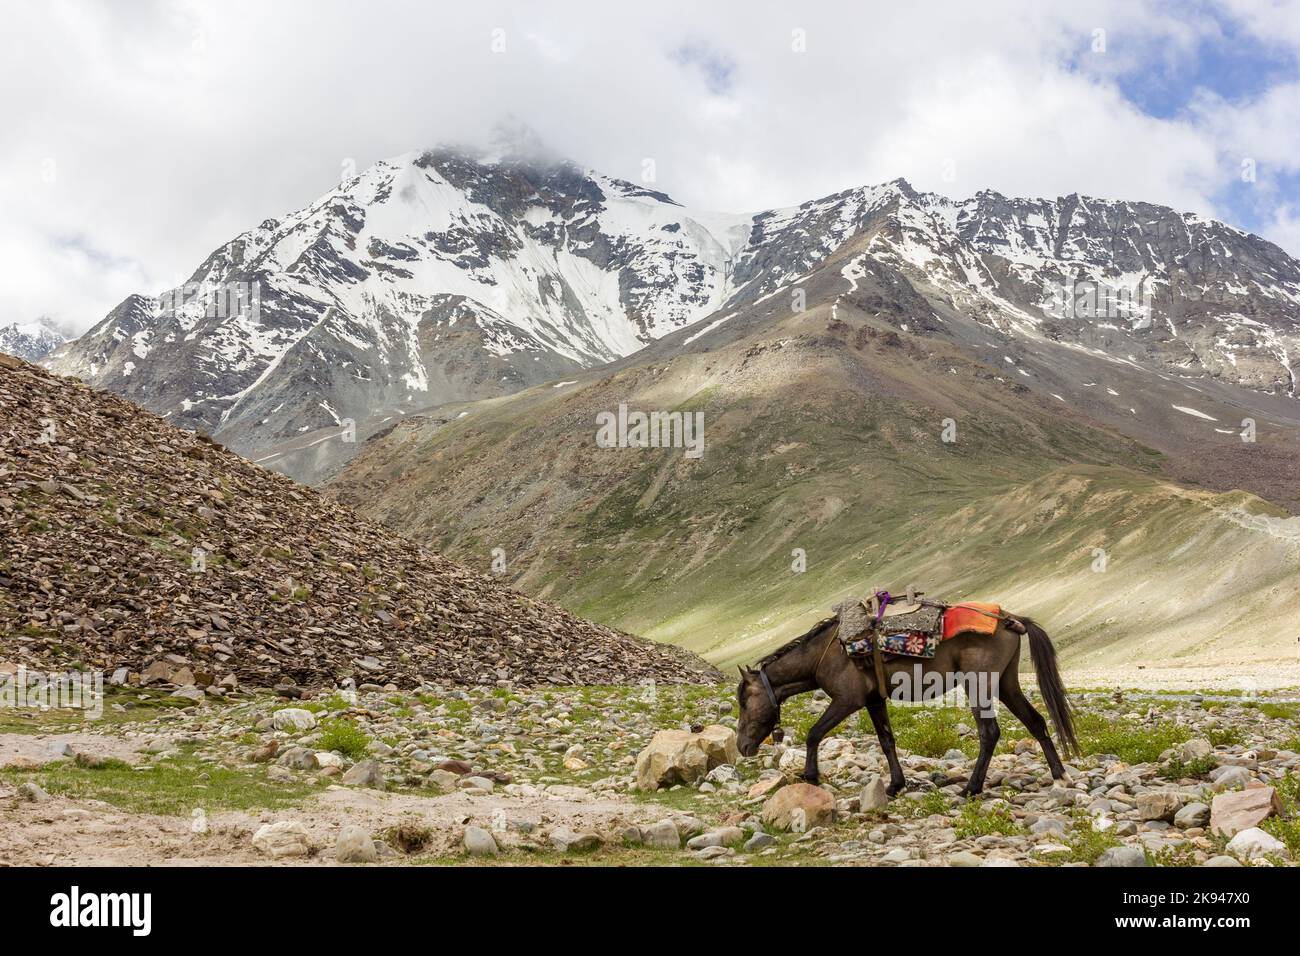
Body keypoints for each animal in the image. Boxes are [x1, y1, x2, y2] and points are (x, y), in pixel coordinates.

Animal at [735, 613, 1077, 796]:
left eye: (744, 701)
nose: (742, 746)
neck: (826, 652)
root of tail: (1010, 620)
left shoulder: (848, 700)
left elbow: (814, 733)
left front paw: (811, 776)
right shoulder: (873, 700)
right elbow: (886, 740)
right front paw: (895, 786)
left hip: (978, 685)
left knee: (989, 732)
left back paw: (971, 788)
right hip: (1006, 684)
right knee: (1036, 721)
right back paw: (1060, 775)